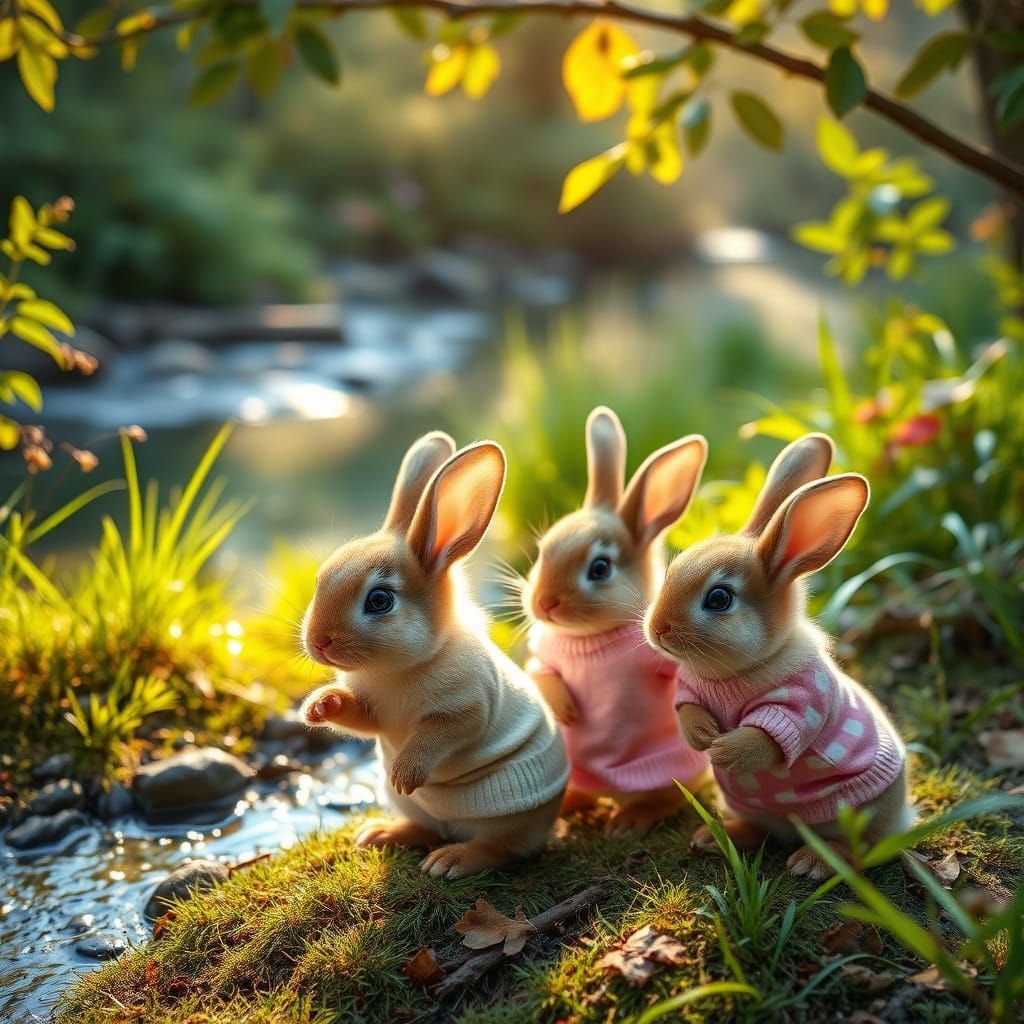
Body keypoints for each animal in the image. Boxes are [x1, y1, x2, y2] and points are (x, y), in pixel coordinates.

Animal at [300, 431, 569, 880]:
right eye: (321, 579)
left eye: (379, 600)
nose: (319, 641)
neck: (399, 666)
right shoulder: (374, 712)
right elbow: (357, 716)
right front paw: (320, 706)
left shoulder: (467, 706)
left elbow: (438, 734)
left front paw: (405, 773)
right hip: (416, 810)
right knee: (427, 828)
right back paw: (381, 834)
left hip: (507, 818)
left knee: (504, 848)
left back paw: (451, 860)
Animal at [522, 406, 711, 837]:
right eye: (542, 551)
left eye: (600, 568)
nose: (544, 603)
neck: (589, 638)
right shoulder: (546, 651)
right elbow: (539, 670)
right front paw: (567, 711)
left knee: (668, 797)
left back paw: (628, 821)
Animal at [644, 434, 913, 879]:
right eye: (670, 572)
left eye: (719, 599)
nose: (657, 629)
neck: (739, 672)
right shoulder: (690, 690)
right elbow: (687, 709)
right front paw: (703, 735)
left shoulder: (803, 702)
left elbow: (768, 737)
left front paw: (725, 750)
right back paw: (715, 838)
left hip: (859, 812)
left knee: (859, 849)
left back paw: (812, 862)